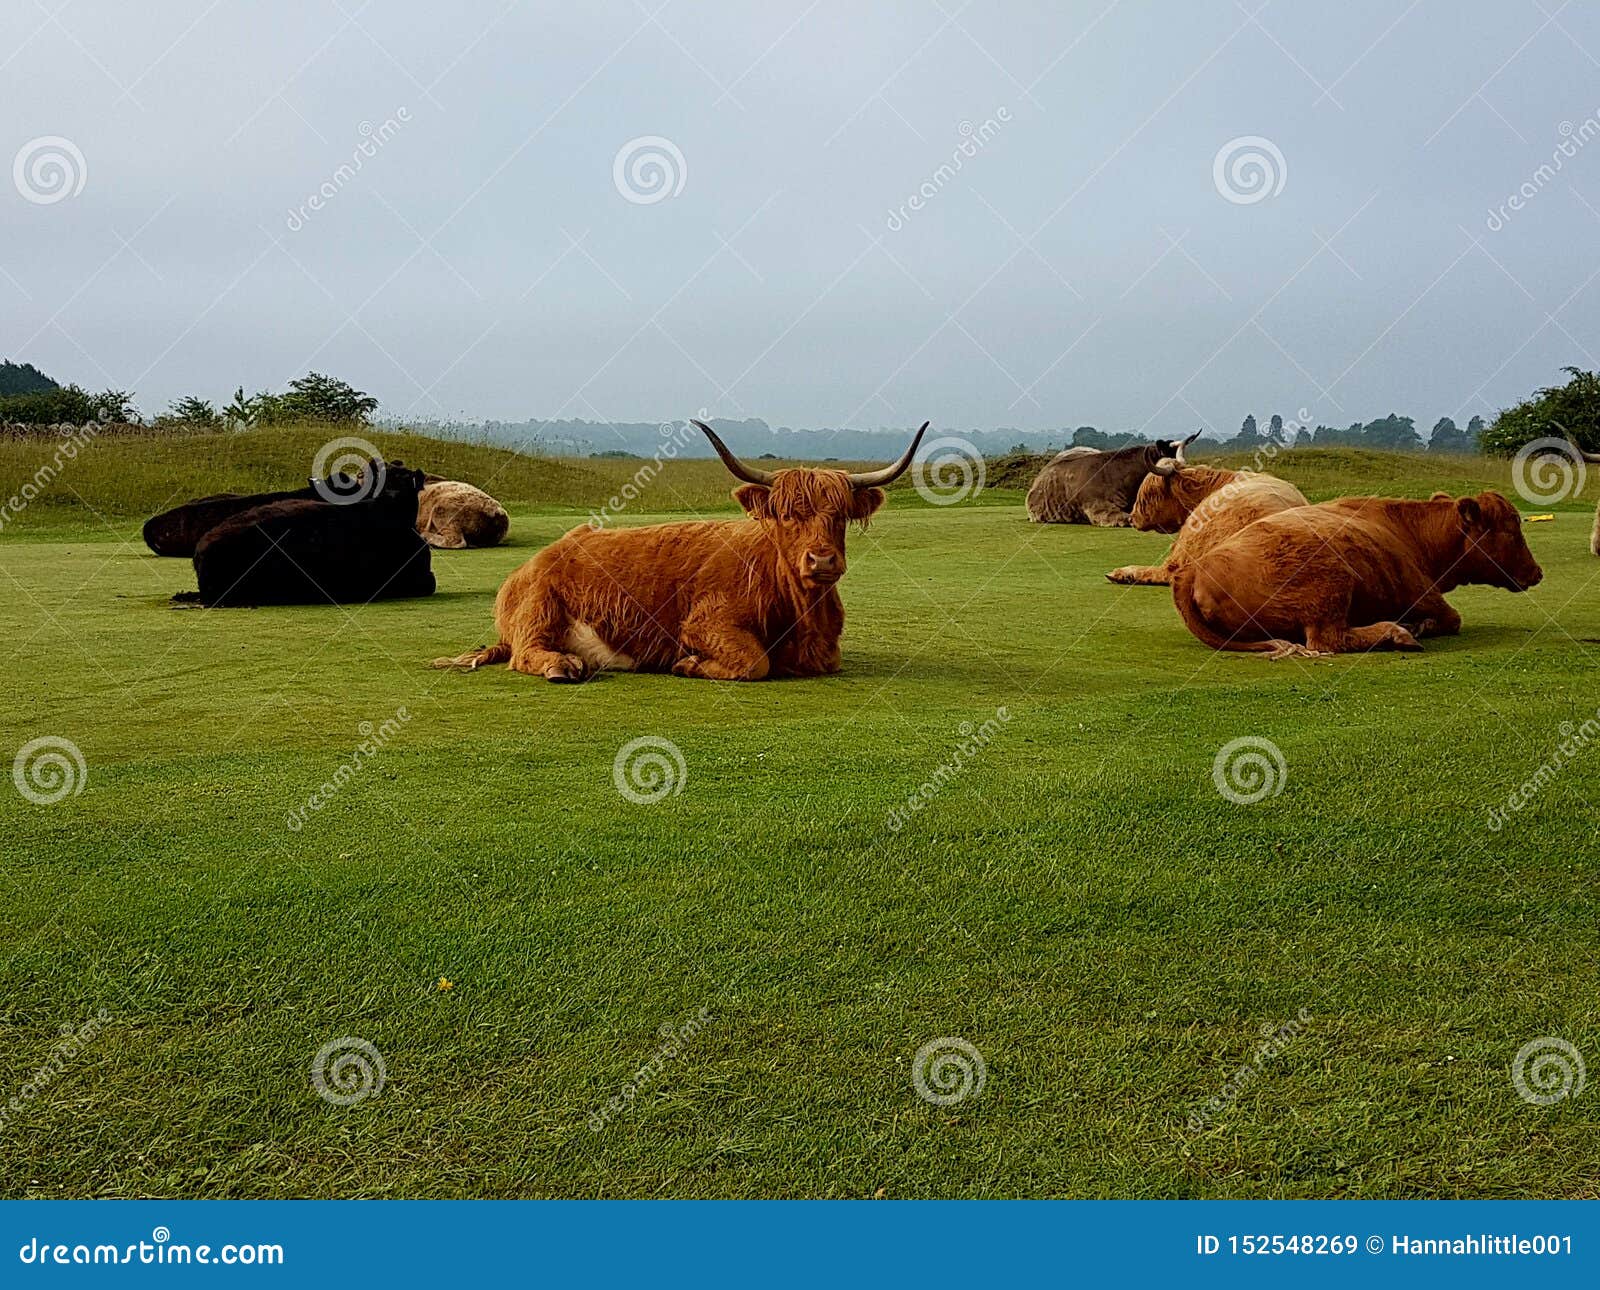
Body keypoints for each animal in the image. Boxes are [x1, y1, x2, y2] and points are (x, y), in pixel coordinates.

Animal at [431, 419, 928, 681]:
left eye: (840, 515)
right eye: (787, 515)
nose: (822, 560)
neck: (800, 611)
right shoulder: (706, 622)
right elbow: (754, 661)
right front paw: (690, 663)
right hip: (540, 607)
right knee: (526, 652)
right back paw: (563, 665)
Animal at [1171, 491, 1542, 658]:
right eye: (1511, 530)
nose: (1537, 572)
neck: (1412, 533)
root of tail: (1193, 570)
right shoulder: (1424, 594)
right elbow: (1452, 618)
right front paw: (1417, 626)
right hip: (1331, 586)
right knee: (1328, 639)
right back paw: (1396, 632)